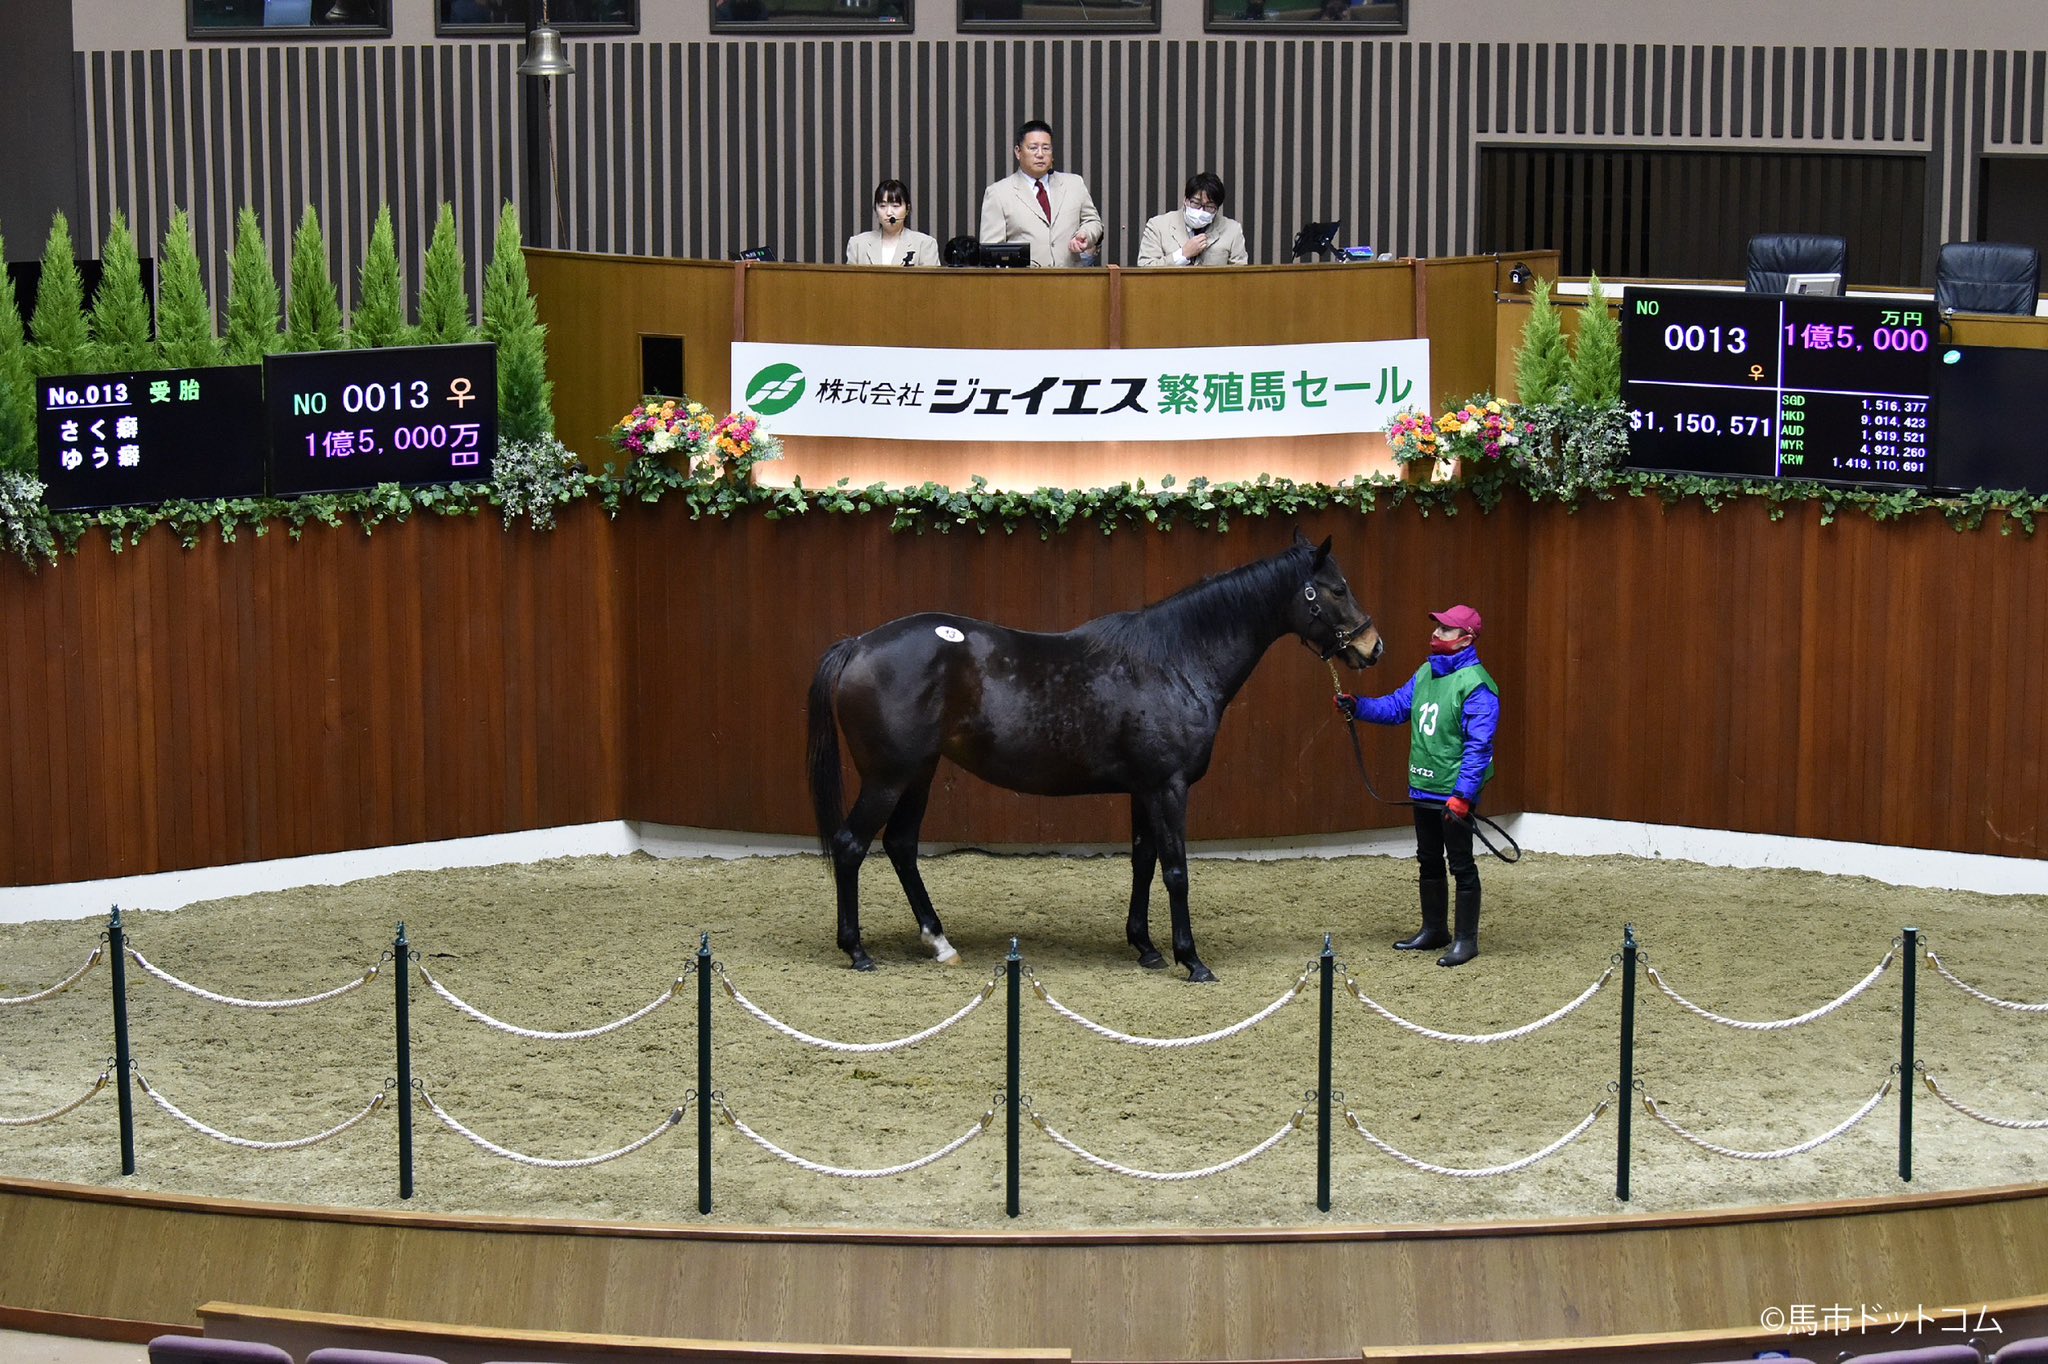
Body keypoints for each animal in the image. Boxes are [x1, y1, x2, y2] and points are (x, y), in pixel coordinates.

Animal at [805, 532, 1383, 981]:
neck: (1175, 661)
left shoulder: (1144, 788)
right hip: (888, 777)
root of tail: (859, 645)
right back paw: (857, 950)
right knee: (852, 845)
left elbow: (1143, 862)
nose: (1372, 646)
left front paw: (1146, 948)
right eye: (1336, 589)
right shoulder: (1168, 787)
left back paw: (939, 942)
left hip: (920, 774)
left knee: (901, 846)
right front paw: (1191, 960)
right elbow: (1176, 869)